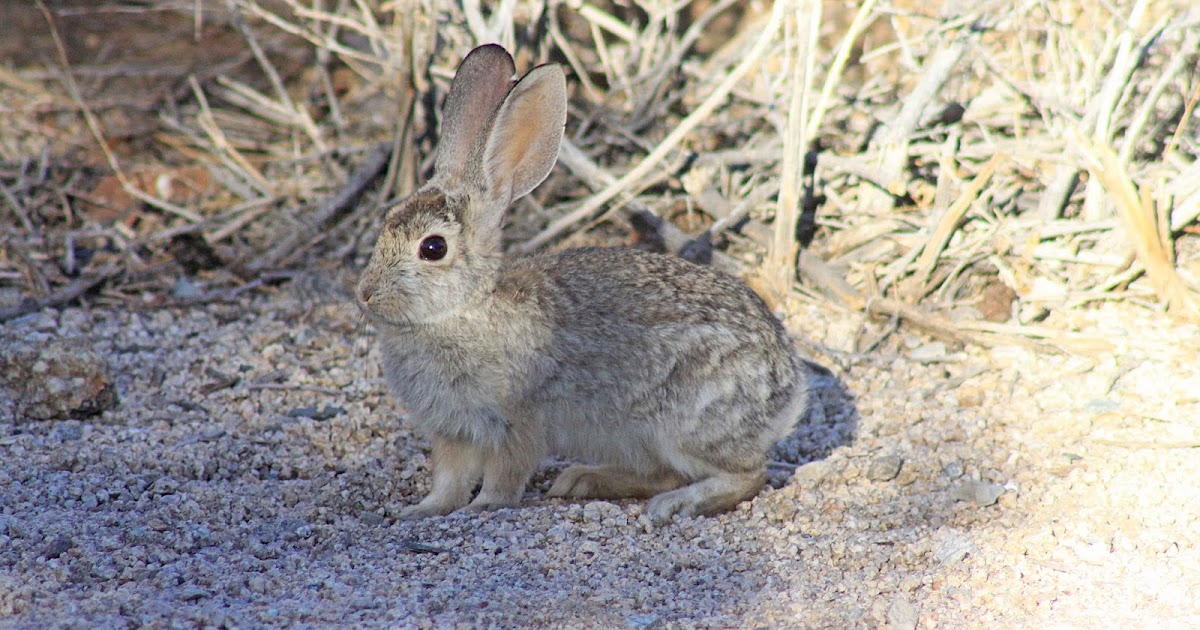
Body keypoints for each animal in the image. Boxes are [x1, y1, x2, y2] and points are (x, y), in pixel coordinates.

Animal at [356, 44, 809, 526]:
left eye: (433, 248)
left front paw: (485, 506)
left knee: (748, 474)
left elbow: (503, 475)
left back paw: (673, 504)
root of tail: (789, 388)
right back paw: (583, 480)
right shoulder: (453, 432)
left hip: (685, 425)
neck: (461, 310)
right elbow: (448, 481)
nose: (365, 293)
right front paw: (418, 511)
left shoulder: (518, 421)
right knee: (668, 473)